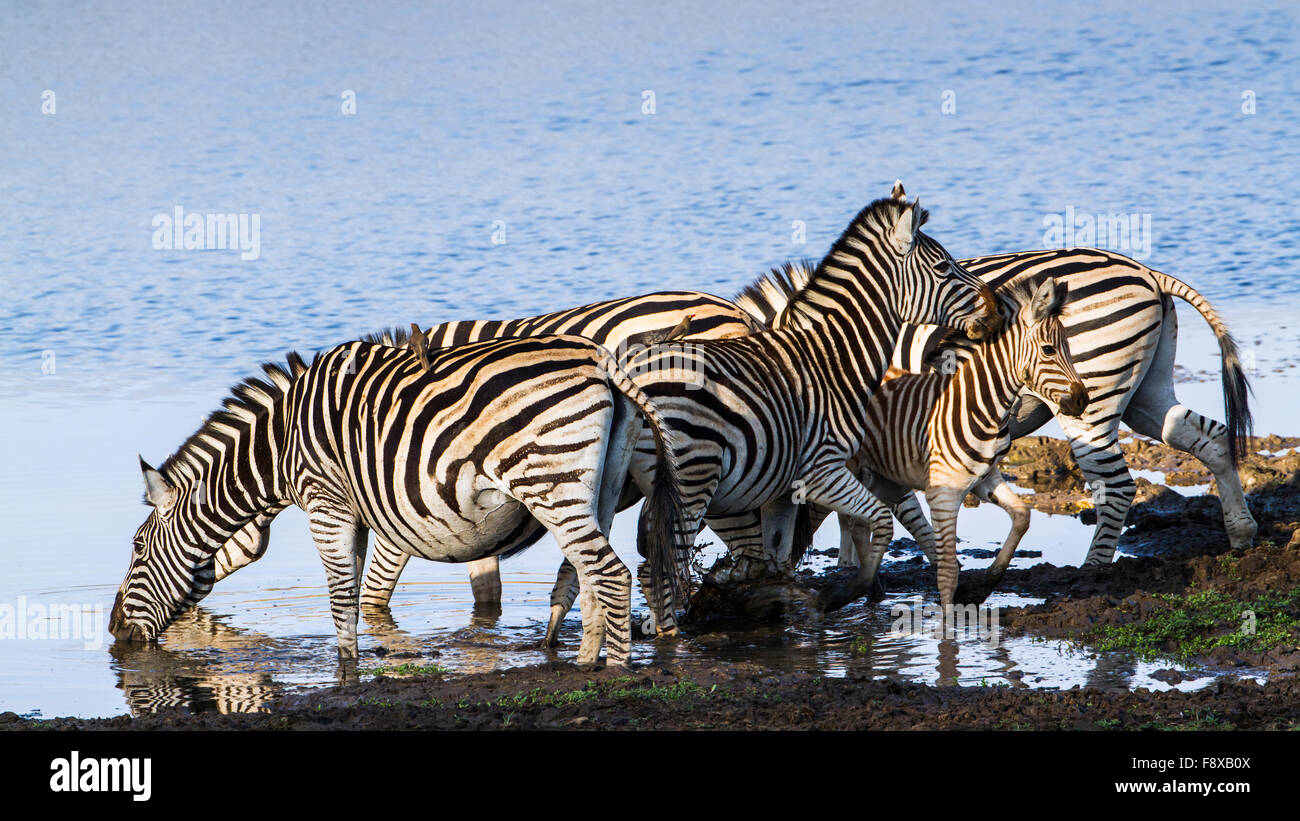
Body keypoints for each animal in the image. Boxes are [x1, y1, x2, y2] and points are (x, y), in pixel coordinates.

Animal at [108, 332, 691, 667]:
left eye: (137, 548)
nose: (114, 631)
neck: (280, 446)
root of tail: (603, 362)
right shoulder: (358, 510)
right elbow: (356, 595)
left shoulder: (326, 503)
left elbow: (342, 599)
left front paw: (346, 670)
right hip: (598, 485)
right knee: (588, 578)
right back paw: (585, 664)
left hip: (551, 483)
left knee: (611, 574)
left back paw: (615, 673)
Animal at [733, 244, 1256, 570]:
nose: (767, 571)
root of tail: (1147, 273)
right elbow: (855, 511)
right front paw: (849, 564)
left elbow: (890, 508)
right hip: (1145, 393)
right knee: (1208, 438)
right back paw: (1241, 533)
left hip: (1088, 401)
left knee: (1118, 487)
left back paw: (1091, 570)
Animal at [851, 277, 1087, 604]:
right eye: (1050, 350)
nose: (1082, 400)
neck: (980, 405)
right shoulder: (943, 491)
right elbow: (949, 566)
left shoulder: (986, 477)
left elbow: (1022, 515)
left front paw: (986, 583)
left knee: (857, 522)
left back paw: (865, 586)